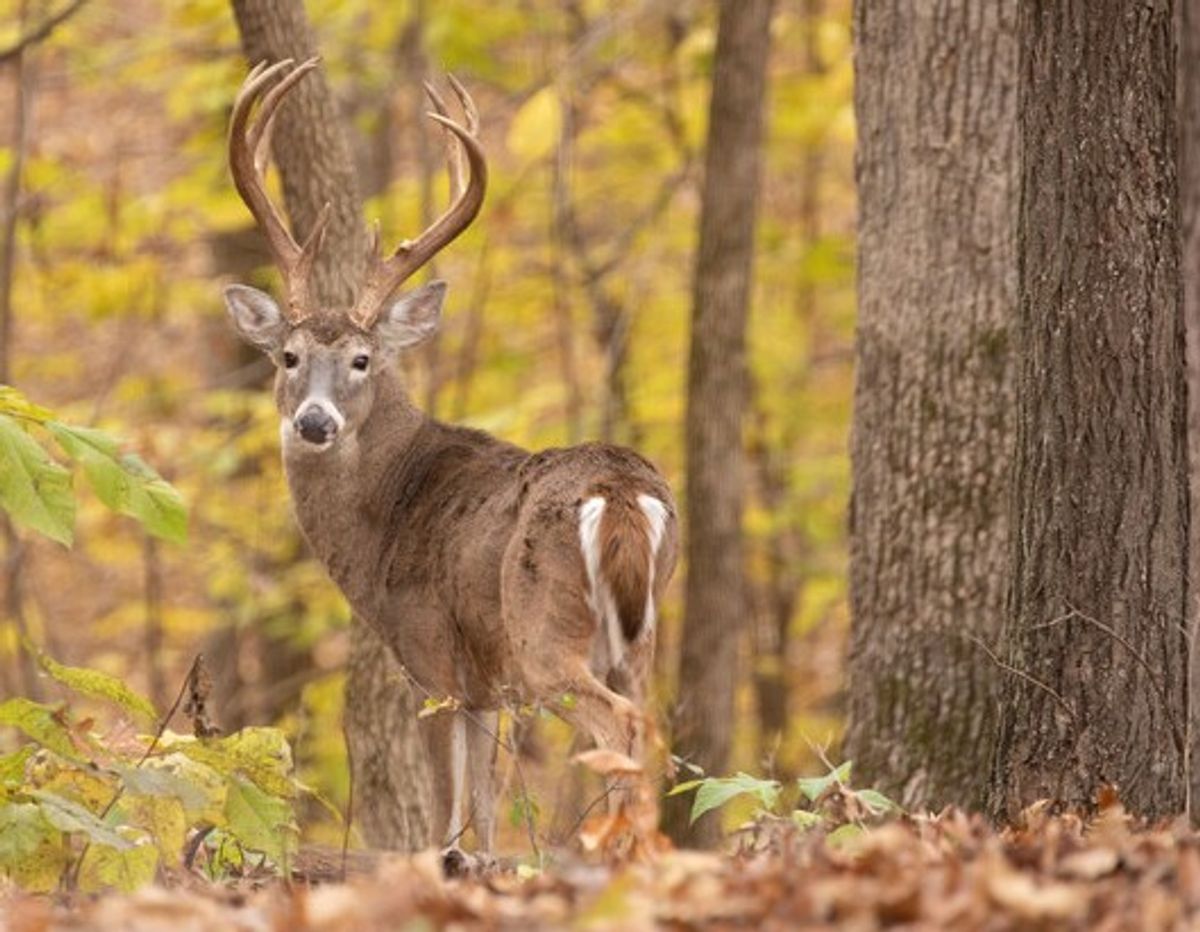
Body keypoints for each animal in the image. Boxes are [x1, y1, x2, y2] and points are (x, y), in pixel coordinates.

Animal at [220, 58, 678, 865]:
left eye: (363, 359)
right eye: (289, 356)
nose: (314, 422)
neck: (386, 514)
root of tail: (622, 491)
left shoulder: (431, 658)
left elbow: (444, 814)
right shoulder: (488, 686)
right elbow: (488, 812)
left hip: (544, 631)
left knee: (621, 726)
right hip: (640, 634)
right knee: (655, 729)